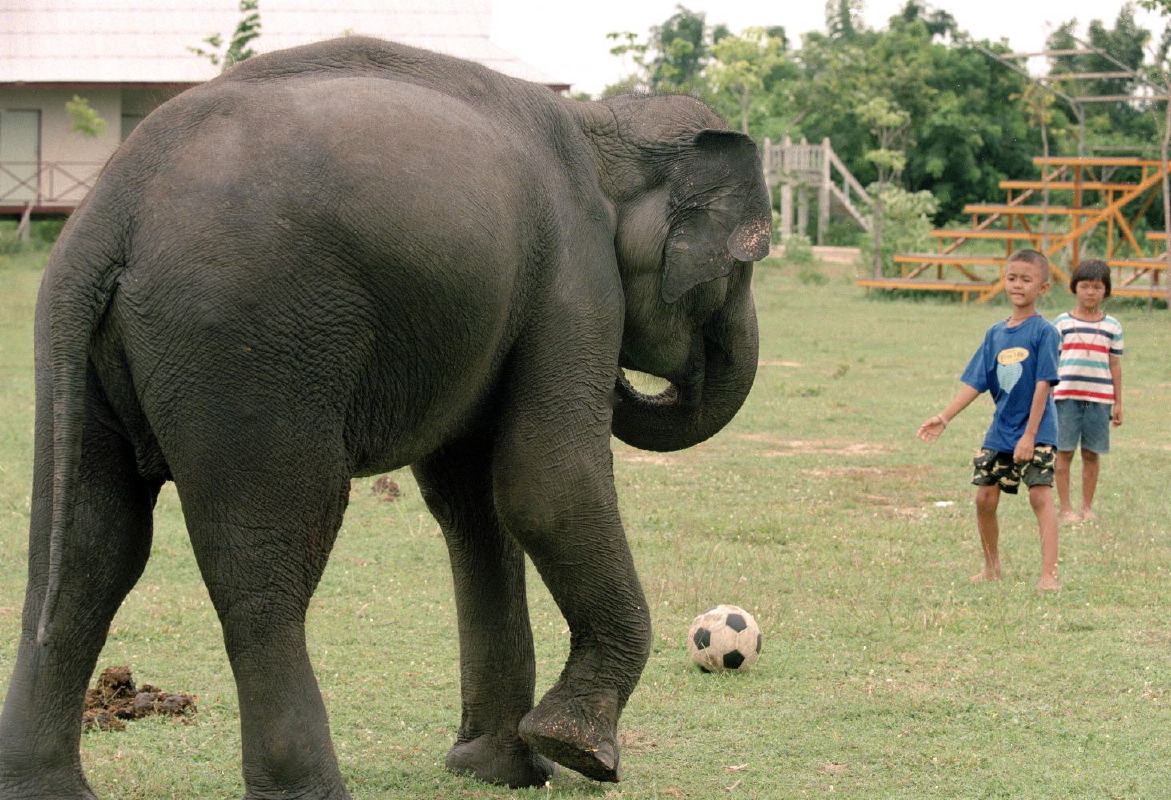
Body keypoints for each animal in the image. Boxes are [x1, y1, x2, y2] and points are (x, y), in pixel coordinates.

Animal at [0, 36, 770, 799]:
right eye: (736, 269)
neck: (602, 125)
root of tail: (113, 212)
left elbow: (474, 501)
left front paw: (501, 771)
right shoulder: (575, 282)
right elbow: (546, 482)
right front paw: (579, 752)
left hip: (77, 346)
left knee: (90, 548)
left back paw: (50, 790)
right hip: (247, 343)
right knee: (272, 556)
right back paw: (310, 787)